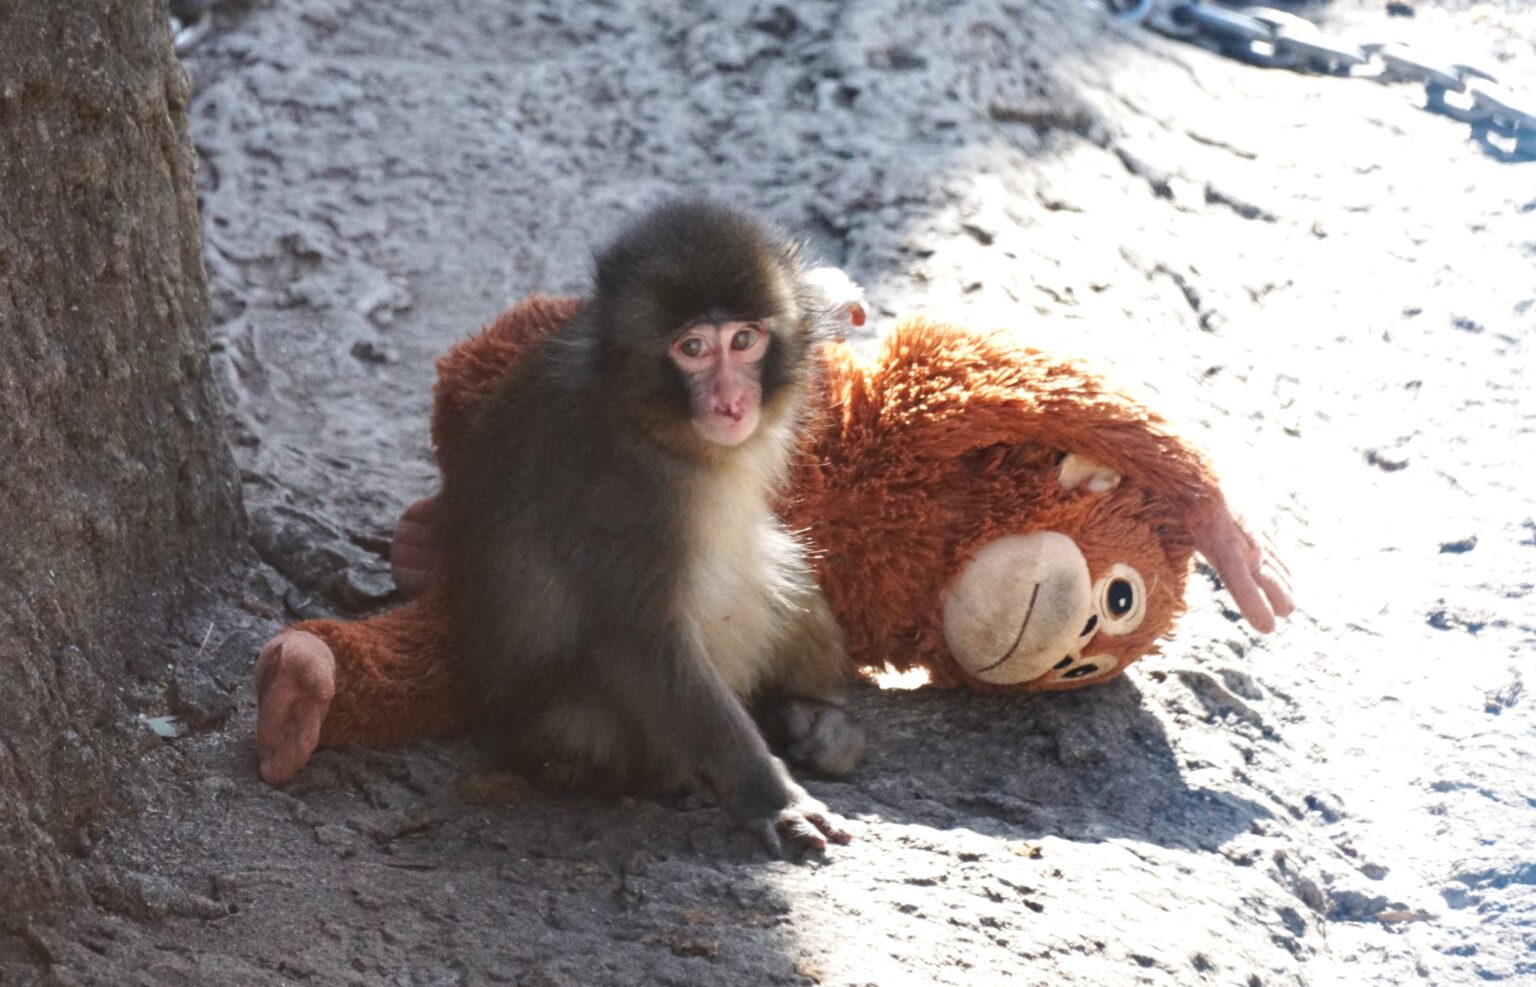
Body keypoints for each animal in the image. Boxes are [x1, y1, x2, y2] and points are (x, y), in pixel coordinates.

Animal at [442, 201, 864, 856]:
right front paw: (771, 797)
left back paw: (815, 713)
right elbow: (640, 639)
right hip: (583, 727)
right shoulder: (617, 488)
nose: (730, 403)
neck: (650, 418)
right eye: (692, 348)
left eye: (744, 340)